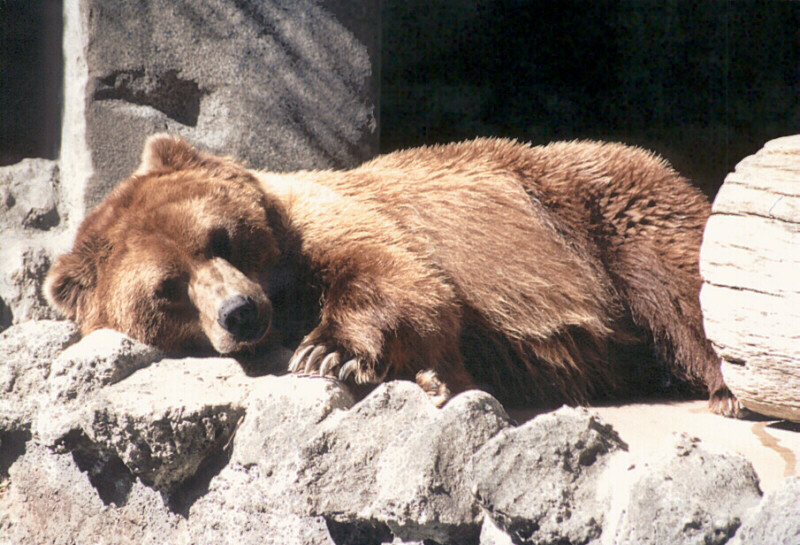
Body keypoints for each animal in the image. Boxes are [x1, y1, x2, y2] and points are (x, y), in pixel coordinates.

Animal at [45, 134, 739, 416]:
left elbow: (404, 283)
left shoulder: (334, 223)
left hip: (601, 209)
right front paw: (426, 378)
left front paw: (327, 352)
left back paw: (725, 389)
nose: (240, 313)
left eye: (219, 238)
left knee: (679, 282)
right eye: (168, 289)